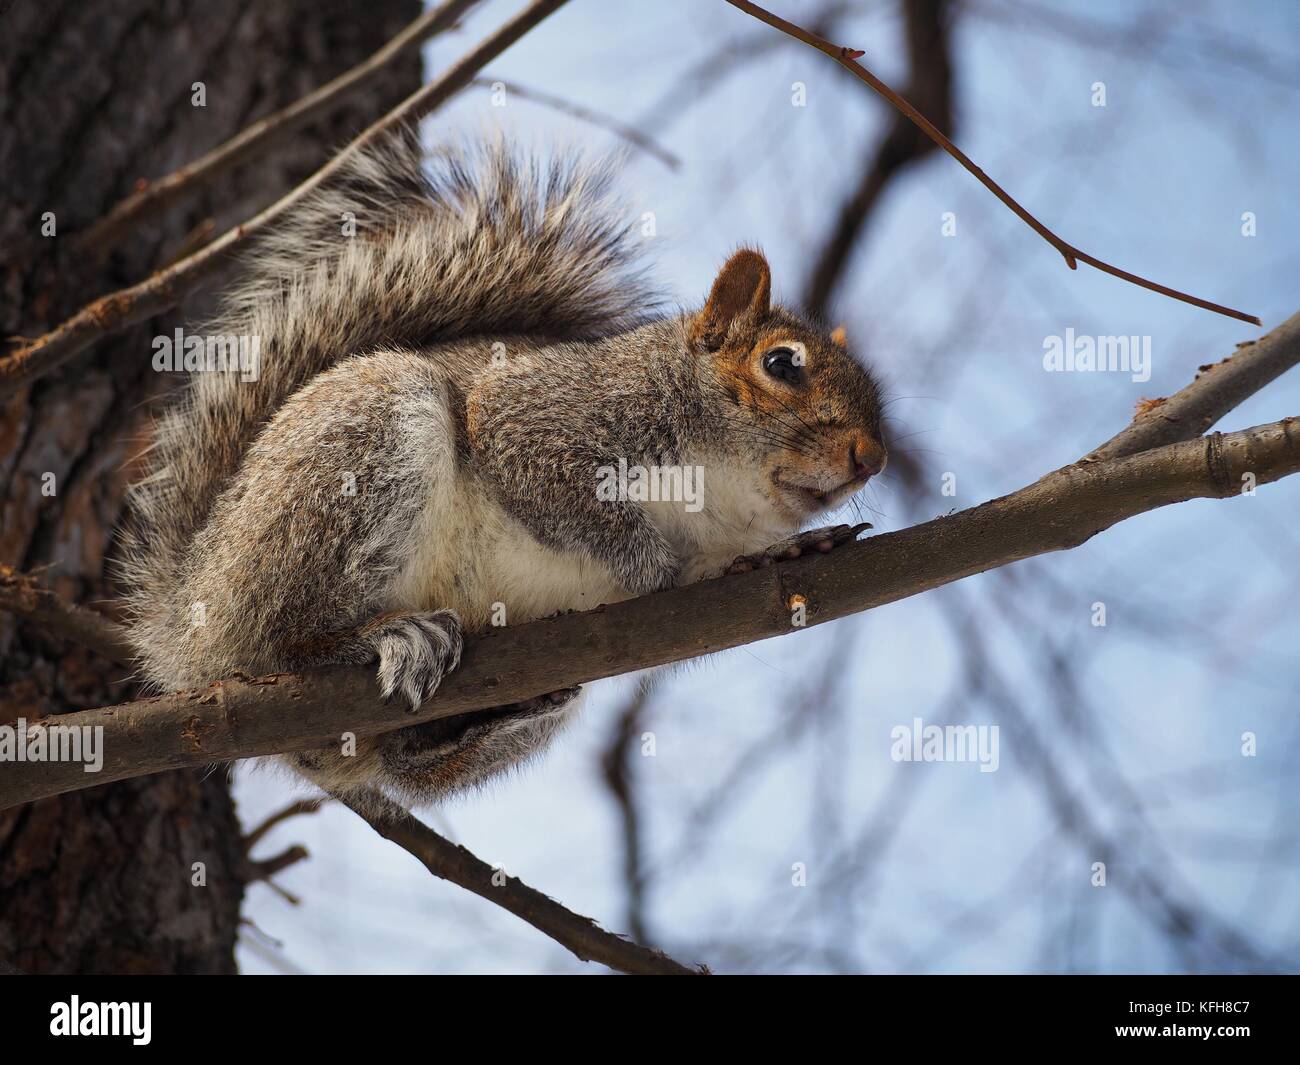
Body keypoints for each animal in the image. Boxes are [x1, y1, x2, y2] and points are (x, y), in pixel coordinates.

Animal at [121, 128, 888, 809]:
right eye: (781, 364)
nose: (872, 457)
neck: (718, 501)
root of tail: (189, 626)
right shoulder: (542, 417)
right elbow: (557, 489)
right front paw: (655, 566)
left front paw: (789, 552)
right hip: (351, 460)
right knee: (280, 645)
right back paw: (373, 638)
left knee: (406, 766)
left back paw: (499, 715)